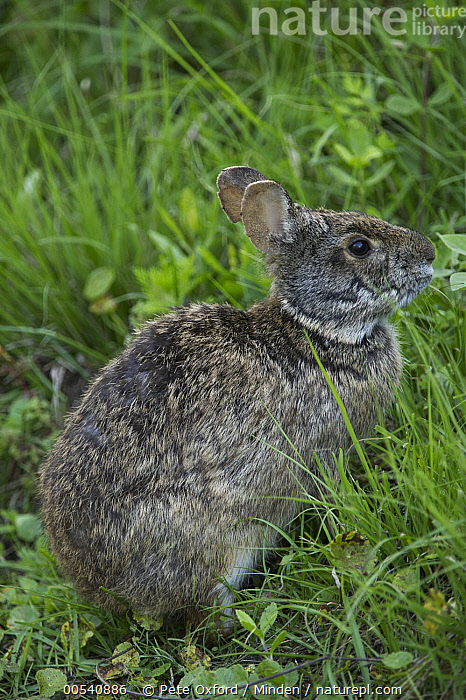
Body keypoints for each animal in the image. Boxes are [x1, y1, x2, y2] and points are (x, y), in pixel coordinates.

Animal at [40, 166, 435, 629]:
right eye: (359, 246)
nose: (429, 254)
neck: (314, 329)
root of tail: (95, 583)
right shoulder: (323, 453)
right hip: (219, 545)